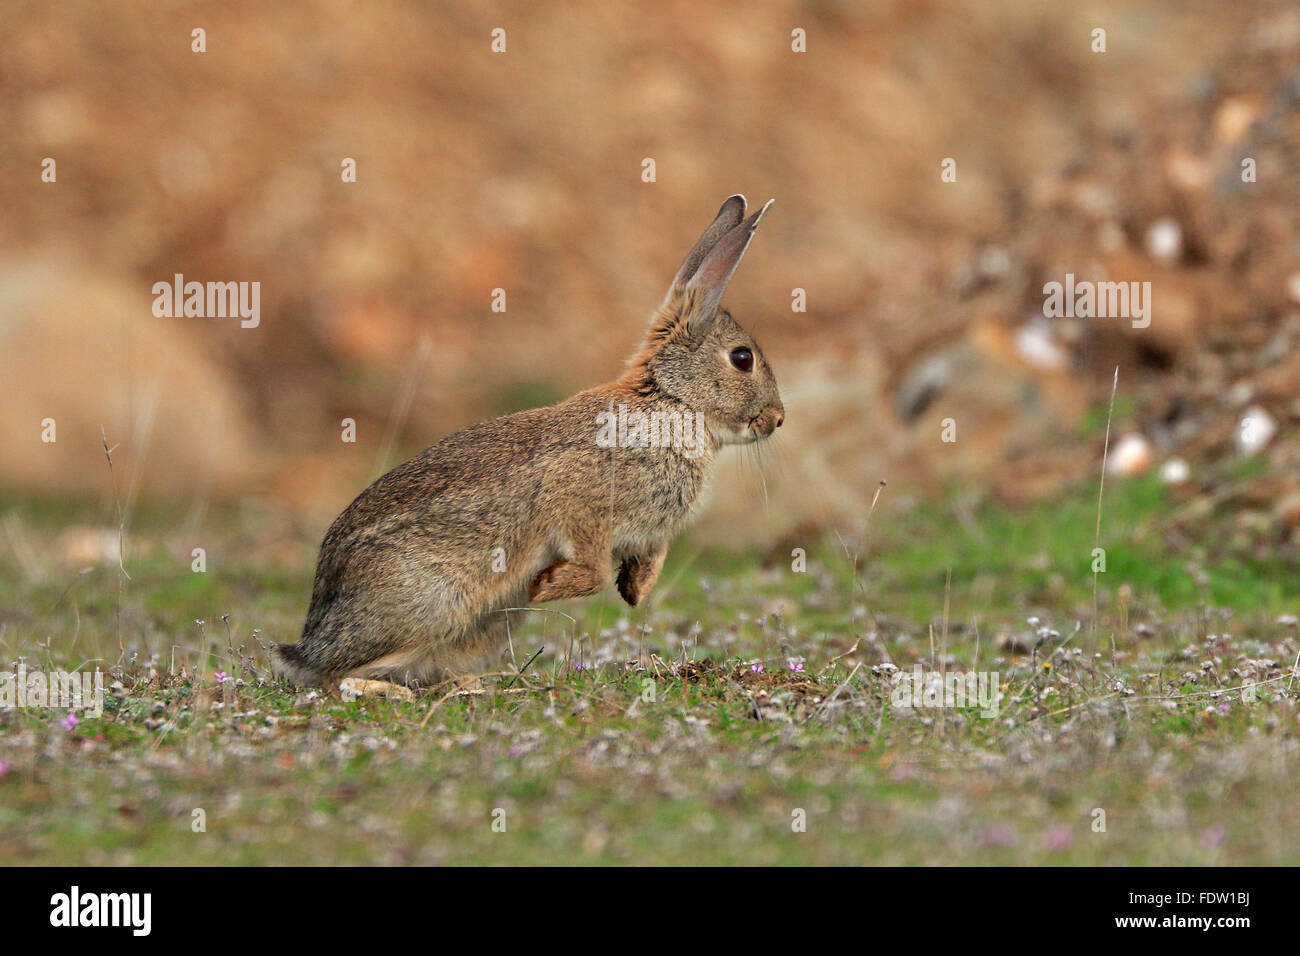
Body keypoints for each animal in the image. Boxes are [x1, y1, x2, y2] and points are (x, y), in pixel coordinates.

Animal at [272, 194, 784, 693]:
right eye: (742, 359)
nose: (777, 419)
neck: (672, 400)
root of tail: (314, 636)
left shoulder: (646, 533)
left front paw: (635, 589)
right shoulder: (579, 496)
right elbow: (593, 566)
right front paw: (548, 584)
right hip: (431, 605)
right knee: (335, 676)